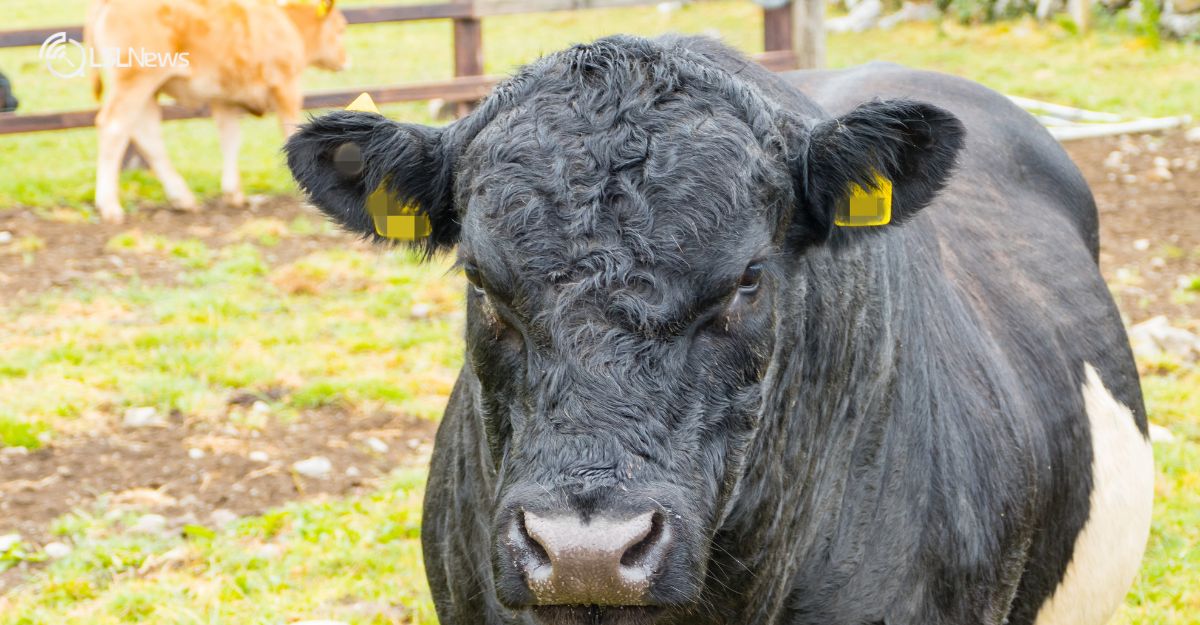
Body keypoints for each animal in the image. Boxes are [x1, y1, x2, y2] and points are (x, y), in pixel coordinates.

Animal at [85, 0, 348, 223]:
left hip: (150, 89)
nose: (346, 60)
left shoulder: (224, 100)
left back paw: (182, 198)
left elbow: (230, 138)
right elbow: (288, 131)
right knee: (114, 127)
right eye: (340, 28)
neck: (286, 22)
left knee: (146, 134)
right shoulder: (287, 88)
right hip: (136, 80)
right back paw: (109, 206)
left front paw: (234, 194)